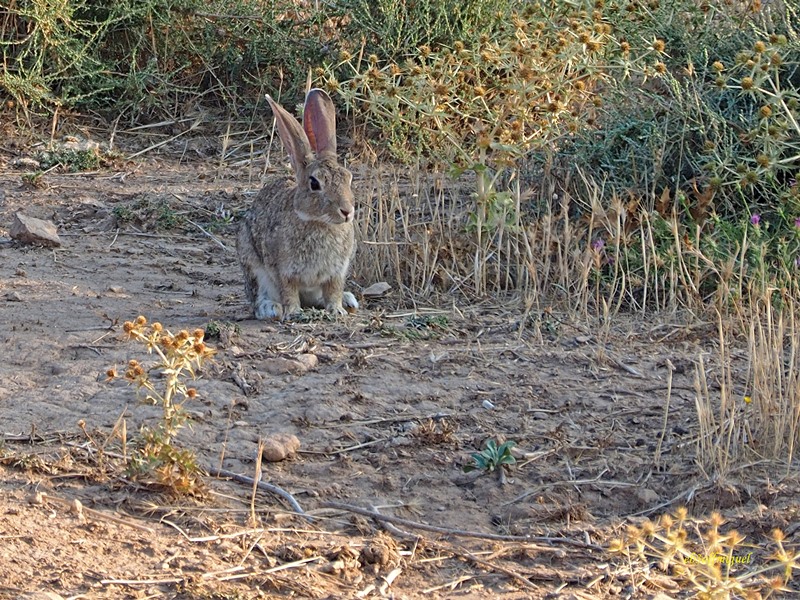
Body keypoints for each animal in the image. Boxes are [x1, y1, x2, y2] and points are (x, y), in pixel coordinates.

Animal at [237, 88, 359, 320]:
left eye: (349, 178)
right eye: (314, 183)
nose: (347, 211)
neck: (317, 222)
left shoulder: (337, 272)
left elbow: (333, 291)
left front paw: (337, 309)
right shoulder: (283, 271)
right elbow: (289, 291)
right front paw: (293, 312)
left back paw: (348, 300)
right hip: (252, 265)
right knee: (258, 297)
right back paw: (270, 308)